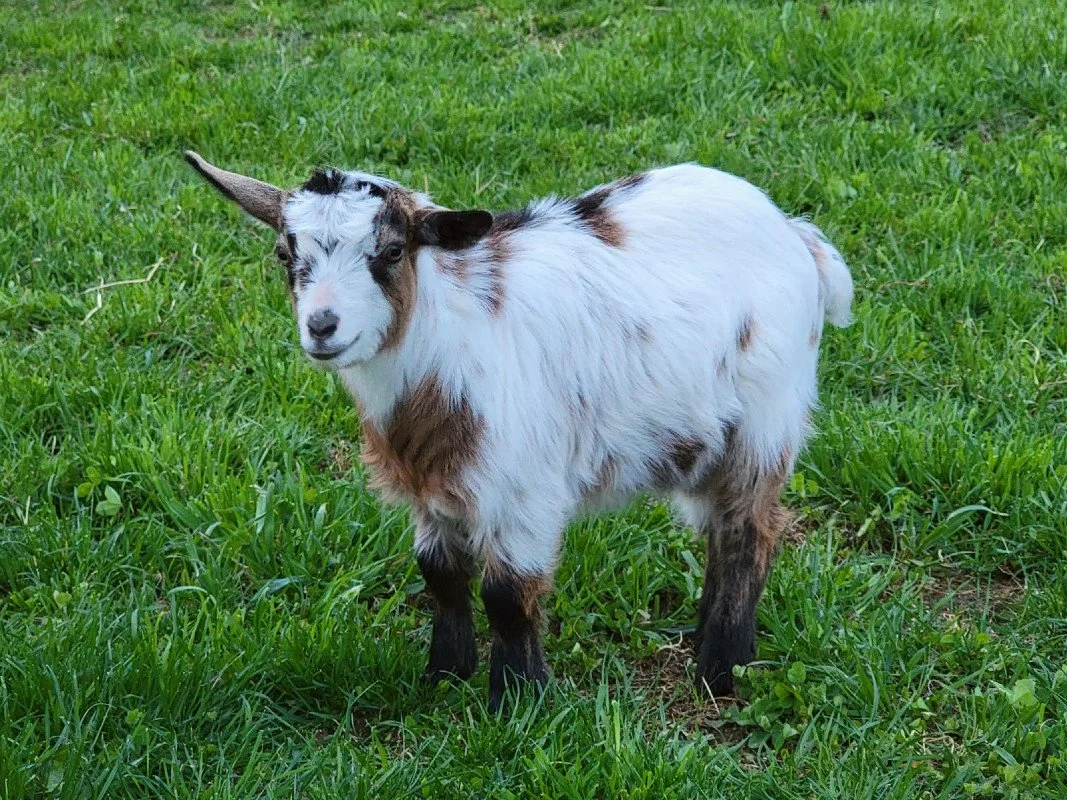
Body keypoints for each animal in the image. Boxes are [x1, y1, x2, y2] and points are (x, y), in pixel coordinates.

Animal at [185, 150, 854, 711]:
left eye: (393, 251)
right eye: (284, 253)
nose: (323, 326)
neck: (448, 344)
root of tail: (794, 233)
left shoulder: (524, 489)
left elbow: (507, 595)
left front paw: (517, 699)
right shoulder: (432, 490)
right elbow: (441, 575)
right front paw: (444, 676)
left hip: (765, 421)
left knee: (749, 532)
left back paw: (721, 669)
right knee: (721, 531)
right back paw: (706, 640)